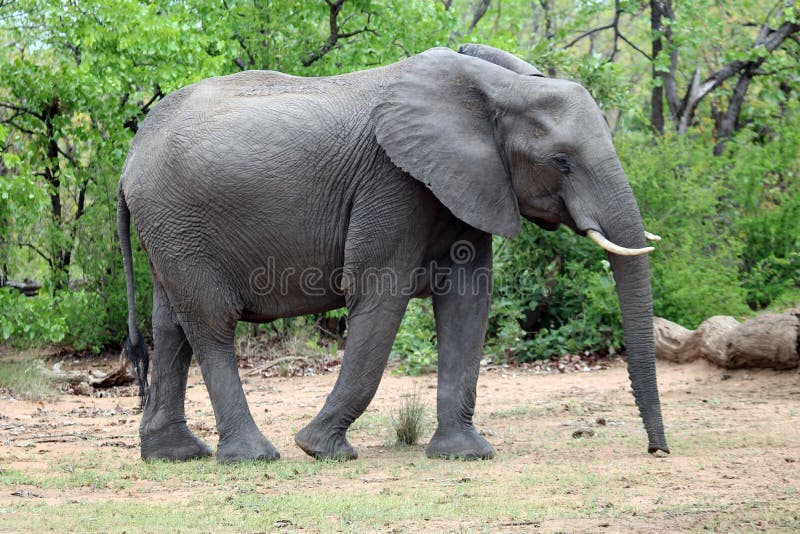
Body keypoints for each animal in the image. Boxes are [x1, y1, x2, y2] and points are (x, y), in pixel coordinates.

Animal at [118, 43, 669, 463]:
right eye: (561, 162)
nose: (657, 451)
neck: (497, 88)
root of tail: (129, 160)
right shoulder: (391, 182)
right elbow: (379, 297)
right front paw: (321, 450)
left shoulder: (463, 185)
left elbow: (469, 301)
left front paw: (464, 454)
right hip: (178, 220)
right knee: (211, 322)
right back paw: (256, 457)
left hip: (170, 230)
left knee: (171, 324)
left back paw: (175, 456)